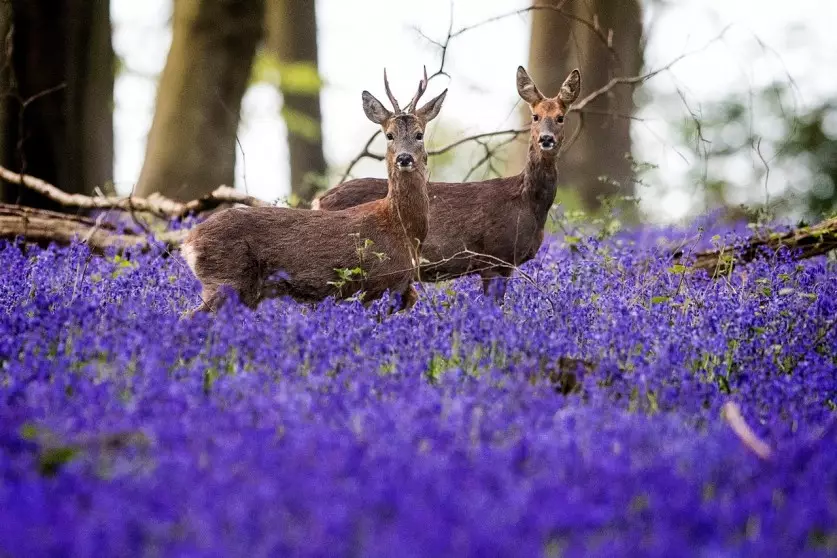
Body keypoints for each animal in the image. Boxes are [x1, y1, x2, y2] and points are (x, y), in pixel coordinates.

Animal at [180, 69, 448, 316]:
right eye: (389, 135)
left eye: (419, 134)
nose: (404, 158)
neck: (401, 229)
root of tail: (189, 241)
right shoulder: (376, 282)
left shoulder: (399, 285)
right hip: (228, 279)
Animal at [314, 66, 580, 302]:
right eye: (535, 116)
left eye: (560, 117)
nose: (546, 139)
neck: (525, 203)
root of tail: (319, 200)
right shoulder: (495, 256)